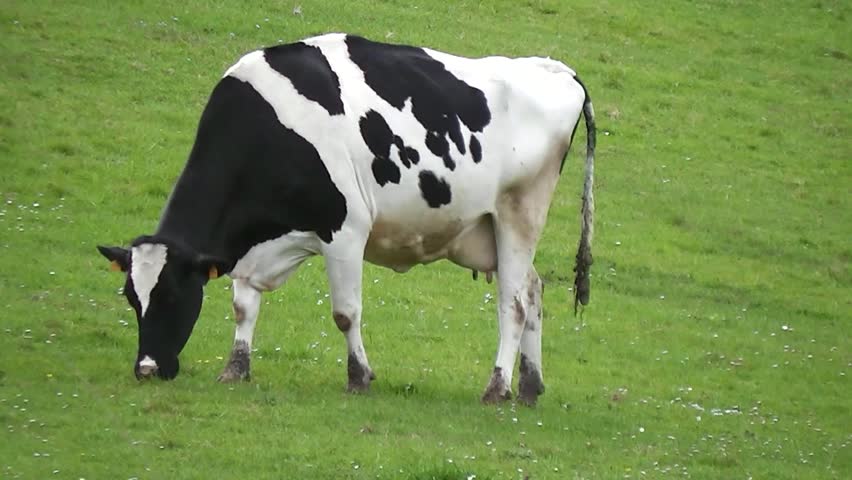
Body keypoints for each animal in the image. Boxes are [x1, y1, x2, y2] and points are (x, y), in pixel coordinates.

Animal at [97, 33, 595, 406]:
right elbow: (244, 305)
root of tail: (552, 67)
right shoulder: (254, 242)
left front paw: (359, 376)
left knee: (513, 303)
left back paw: (498, 387)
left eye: (172, 294)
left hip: (520, 213)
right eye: (131, 298)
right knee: (534, 289)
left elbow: (345, 312)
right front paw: (235, 368)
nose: (147, 369)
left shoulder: (346, 231)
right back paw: (530, 386)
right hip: (488, 230)